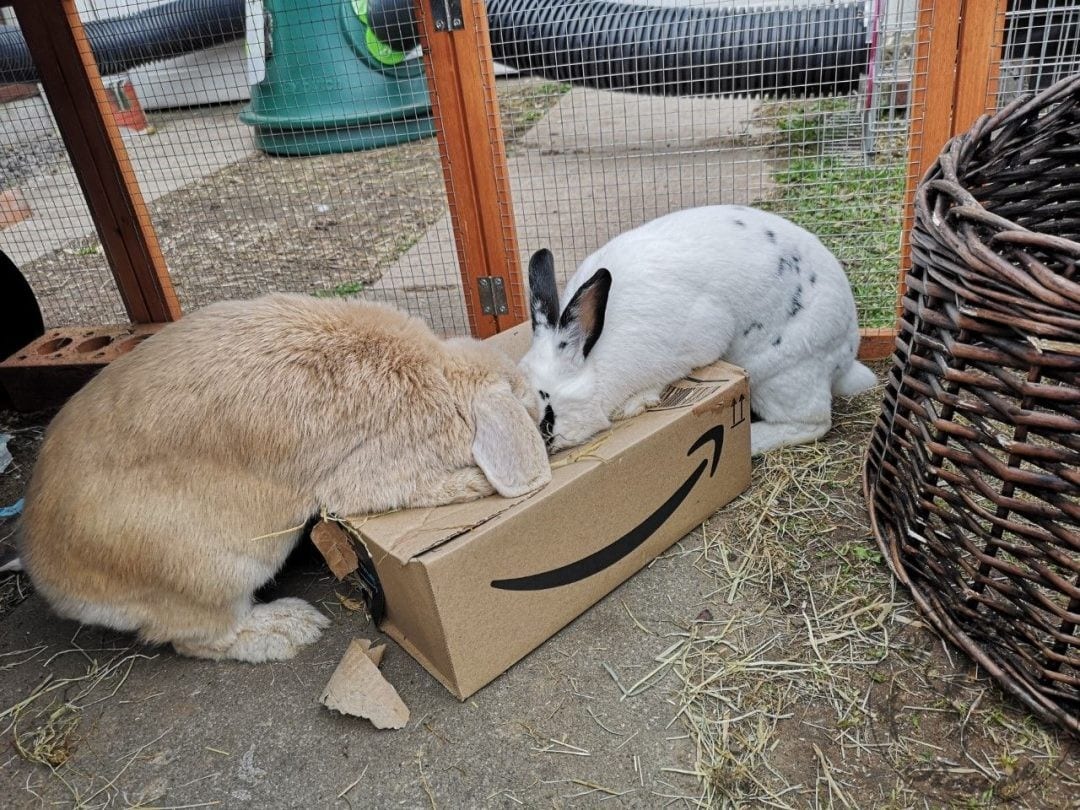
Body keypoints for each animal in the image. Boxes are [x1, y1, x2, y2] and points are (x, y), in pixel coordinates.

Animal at [17, 293, 550, 663]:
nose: (547, 427)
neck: (443, 374)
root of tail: (50, 581)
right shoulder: (371, 472)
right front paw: (476, 485)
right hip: (214, 569)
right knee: (200, 638)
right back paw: (291, 628)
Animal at [519, 205, 878, 455]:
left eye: (548, 416)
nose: (542, 452)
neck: (596, 358)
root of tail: (845, 357)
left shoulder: (696, 341)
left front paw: (634, 404)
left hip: (781, 375)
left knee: (813, 423)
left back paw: (750, 443)